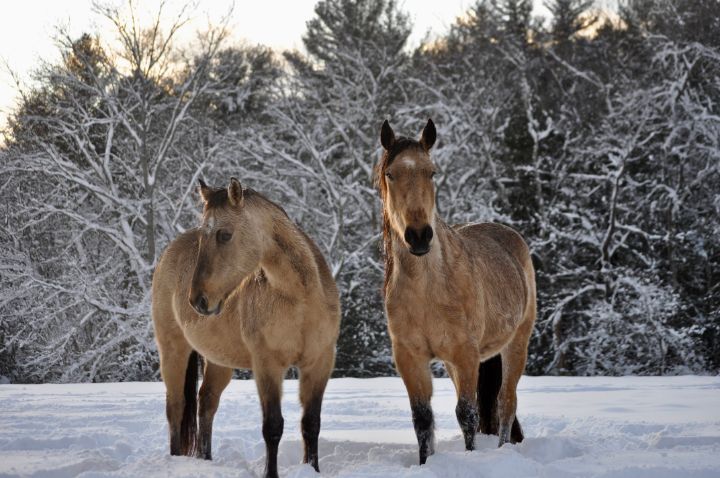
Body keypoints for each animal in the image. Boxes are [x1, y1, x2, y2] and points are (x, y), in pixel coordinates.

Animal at [151, 177, 341, 478]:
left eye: (224, 235)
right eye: (203, 238)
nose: (198, 300)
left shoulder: (319, 362)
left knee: (206, 403)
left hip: (219, 361)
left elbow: (311, 424)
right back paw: (176, 460)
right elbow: (272, 426)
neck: (301, 299)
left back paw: (206, 458)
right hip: (173, 350)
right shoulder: (267, 366)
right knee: (176, 407)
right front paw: (270, 474)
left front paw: (314, 469)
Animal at [375, 119, 536, 464]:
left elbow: (467, 414)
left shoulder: (465, 353)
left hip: (516, 343)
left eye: (432, 172)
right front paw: (425, 463)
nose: (419, 236)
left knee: (506, 402)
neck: (428, 290)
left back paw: (502, 450)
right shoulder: (411, 358)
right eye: (390, 173)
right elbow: (422, 419)